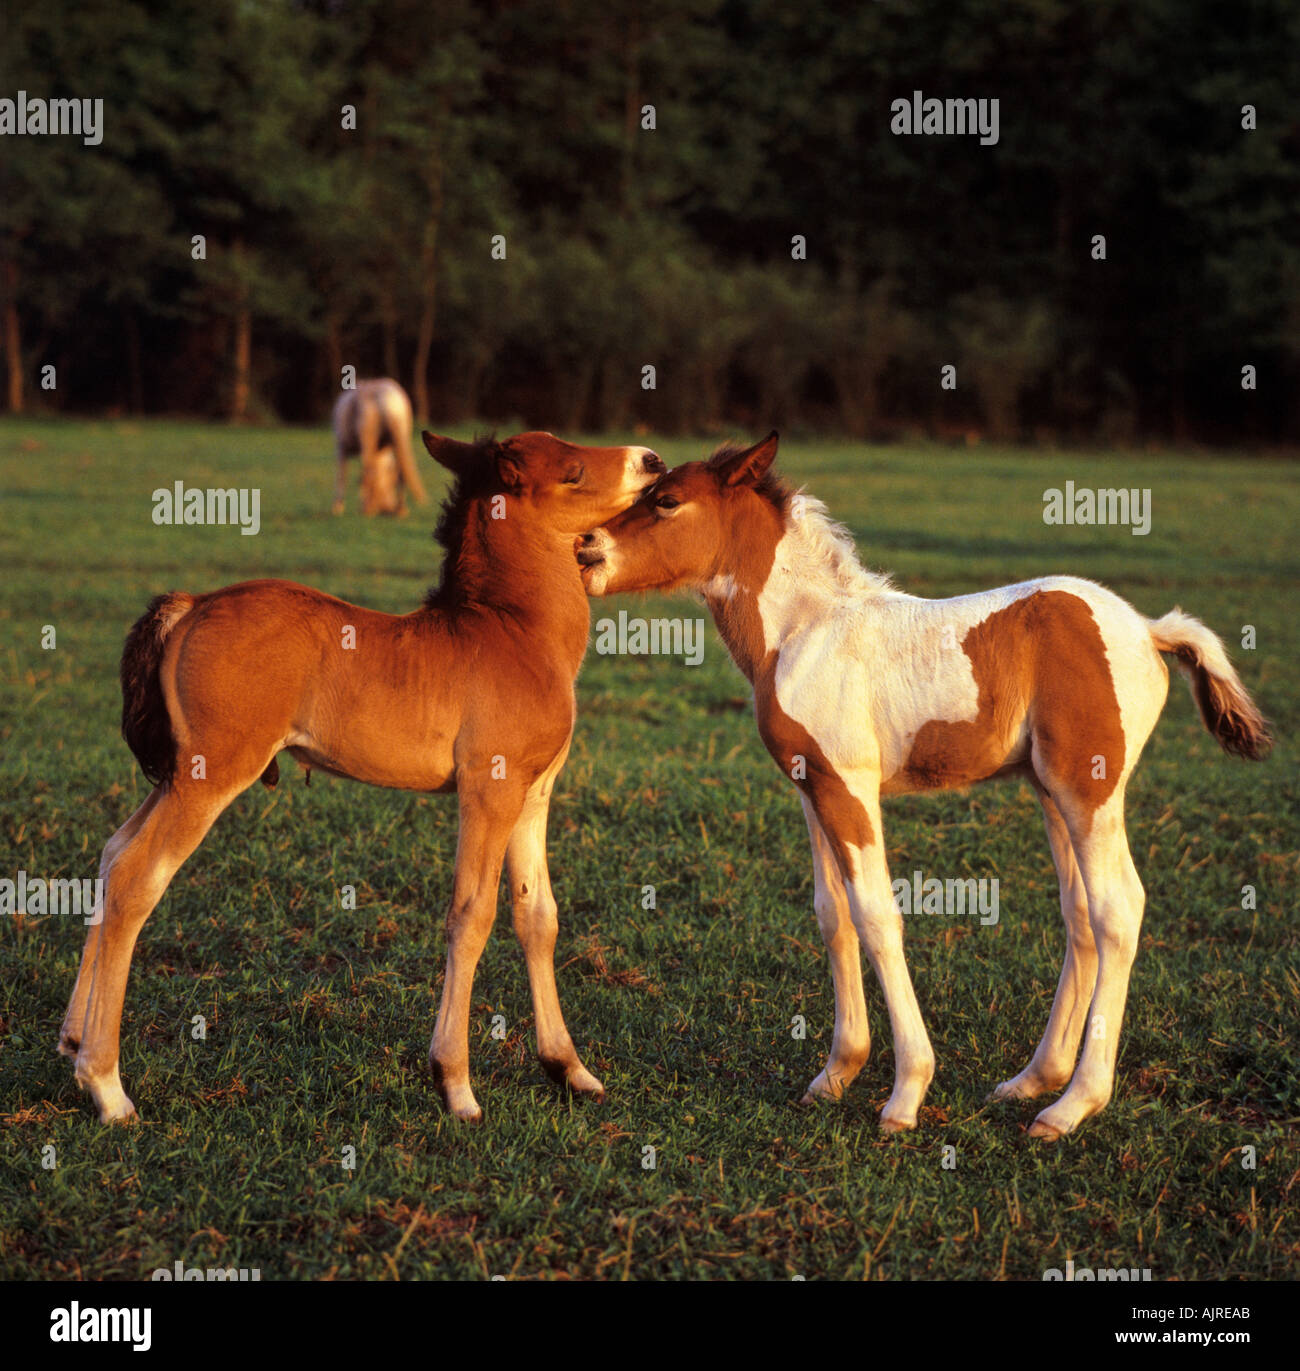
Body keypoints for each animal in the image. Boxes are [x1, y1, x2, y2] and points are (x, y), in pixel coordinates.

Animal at [60, 431, 666, 1124]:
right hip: (211, 773)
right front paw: (455, 1084)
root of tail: (192, 607)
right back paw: (106, 1086)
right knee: (138, 876)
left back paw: (72, 1040)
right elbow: (472, 913)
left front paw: (569, 1069)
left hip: (179, 773)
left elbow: (537, 915)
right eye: (571, 471)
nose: (651, 461)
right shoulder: (489, 791)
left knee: (112, 854)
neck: (516, 630)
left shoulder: (534, 793)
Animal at [332, 379, 427, 516]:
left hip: (367, 439)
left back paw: (367, 510)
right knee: (400, 471)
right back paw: (401, 510)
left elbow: (342, 475)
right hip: (400, 437)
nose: (387, 510)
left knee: (368, 471)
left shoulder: (341, 446)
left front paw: (337, 508)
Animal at [576, 433, 1271, 1139]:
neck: (804, 630)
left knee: (1117, 910)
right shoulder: (812, 789)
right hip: (1052, 792)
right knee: (1079, 916)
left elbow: (878, 916)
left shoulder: (850, 789)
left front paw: (904, 1093)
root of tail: (1151, 631)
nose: (584, 550)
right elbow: (833, 917)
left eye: (666, 501)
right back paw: (1032, 1081)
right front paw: (835, 1075)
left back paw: (1071, 1105)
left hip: (1089, 790)